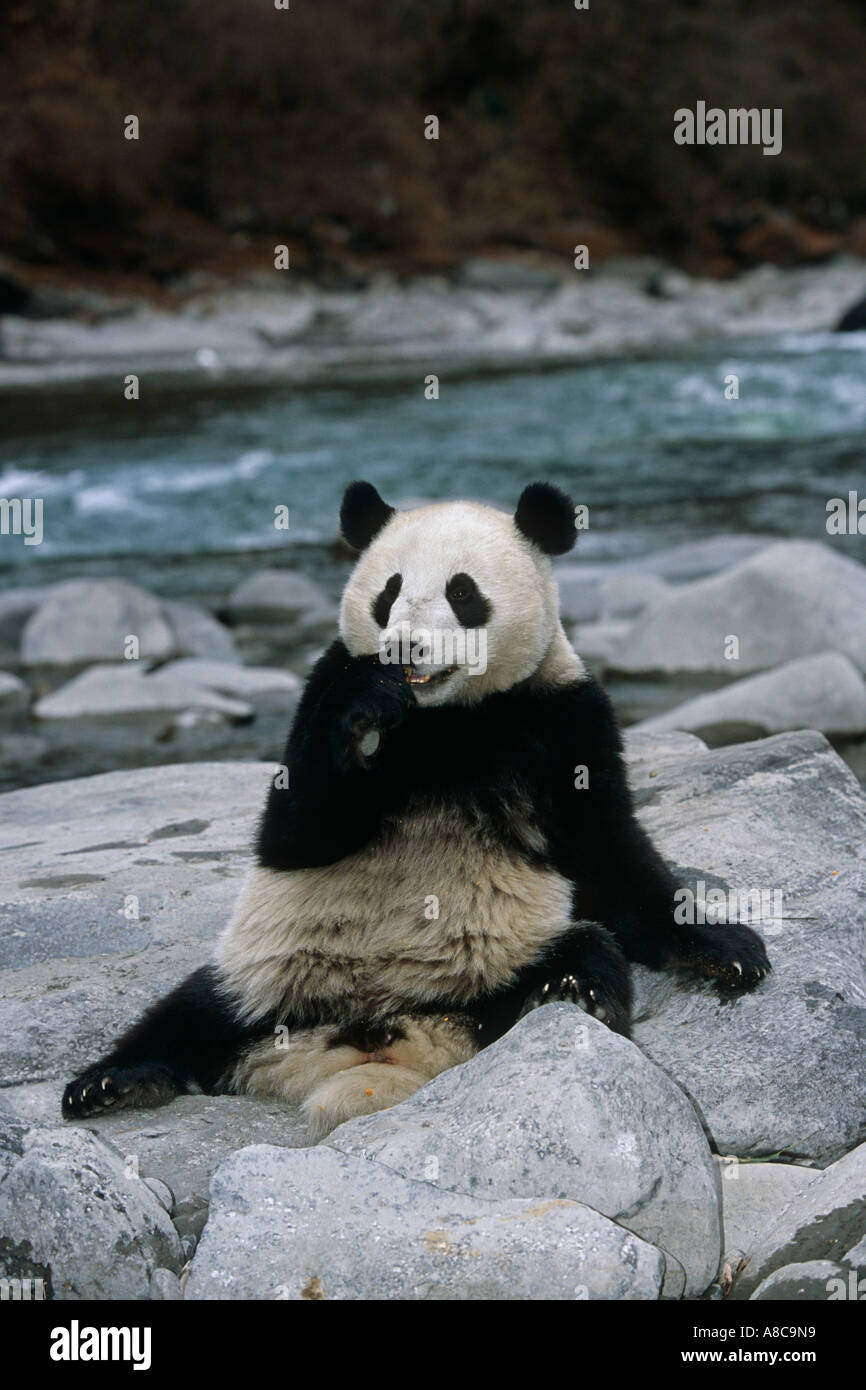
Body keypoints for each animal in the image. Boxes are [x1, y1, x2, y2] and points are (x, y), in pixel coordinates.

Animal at [63, 481, 770, 1138]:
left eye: (463, 592)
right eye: (389, 591)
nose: (405, 649)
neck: (446, 720)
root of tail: (380, 1035)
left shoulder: (562, 710)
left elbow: (607, 850)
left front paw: (725, 948)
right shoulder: (324, 685)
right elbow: (299, 831)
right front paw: (366, 715)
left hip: (496, 964)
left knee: (585, 947)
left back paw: (571, 993)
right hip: (270, 978)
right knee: (188, 1014)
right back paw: (113, 1083)